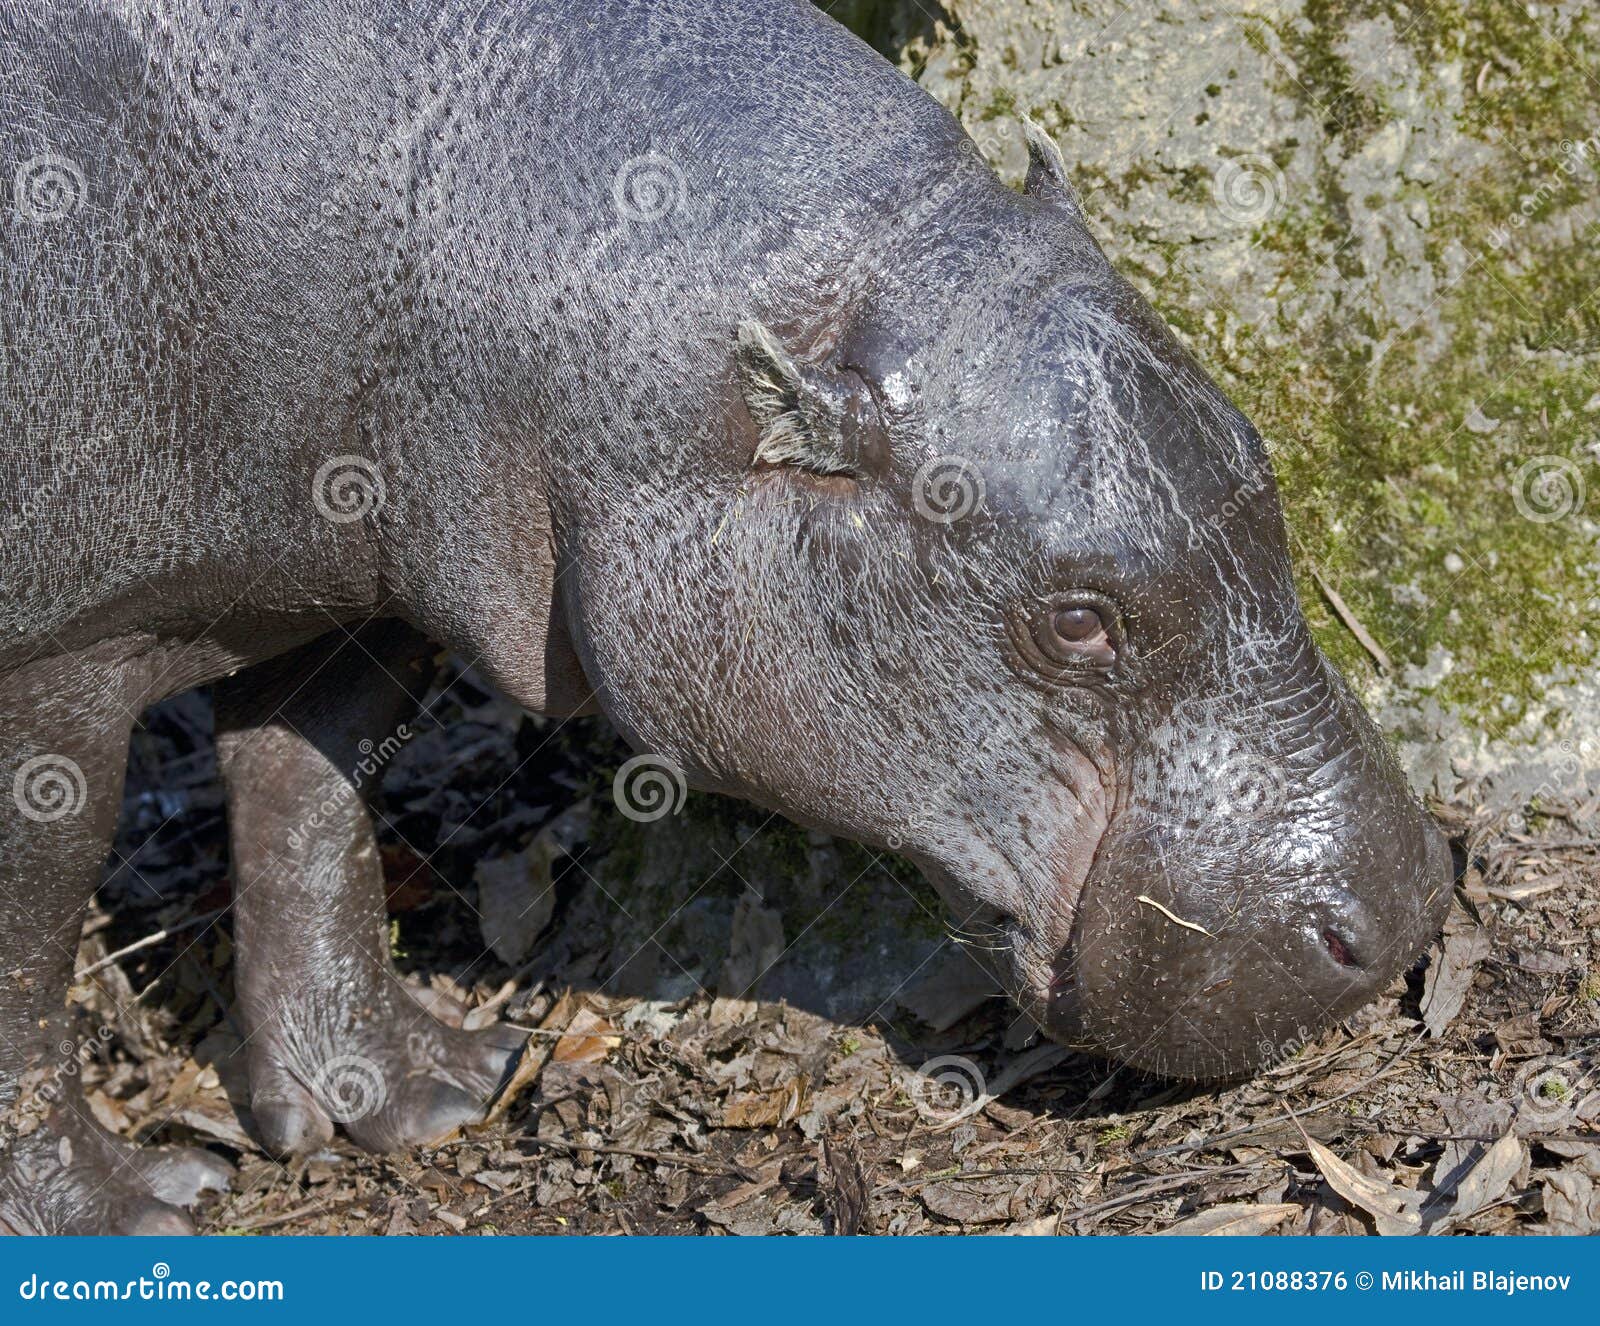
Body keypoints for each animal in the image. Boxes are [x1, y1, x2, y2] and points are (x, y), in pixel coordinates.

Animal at [0, 0, 1452, 1233]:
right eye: (1079, 621)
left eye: (1258, 455)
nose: (1405, 907)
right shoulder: (58, 656)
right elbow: (26, 952)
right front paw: (135, 1212)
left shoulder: (366, 582)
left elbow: (309, 805)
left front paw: (428, 1095)